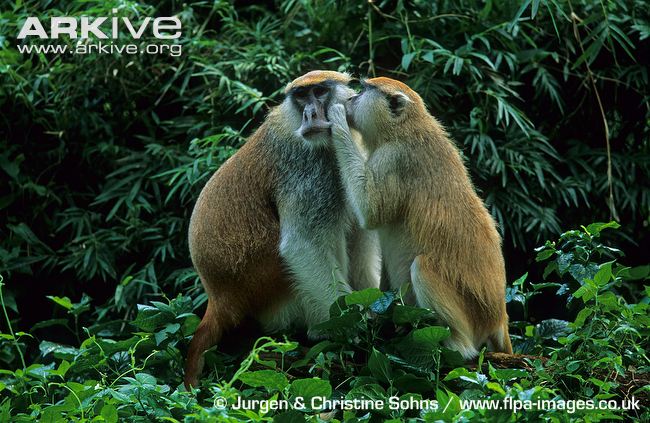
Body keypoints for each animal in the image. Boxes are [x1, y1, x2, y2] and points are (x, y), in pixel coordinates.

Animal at [184, 71, 380, 389]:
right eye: (300, 96)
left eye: (319, 91)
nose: (310, 114)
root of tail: (219, 299)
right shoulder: (308, 170)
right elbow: (303, 245)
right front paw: (351, 328)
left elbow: (361, 235)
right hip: (265, 283)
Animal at [328, 76, 512, 359]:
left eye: (364, 90)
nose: (349, 100)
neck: (405, 128)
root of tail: (498, 317)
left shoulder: (393, 158)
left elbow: (372, 212)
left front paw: (337, 118)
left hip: (473, 313)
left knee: (422, 266)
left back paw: (456, 347)